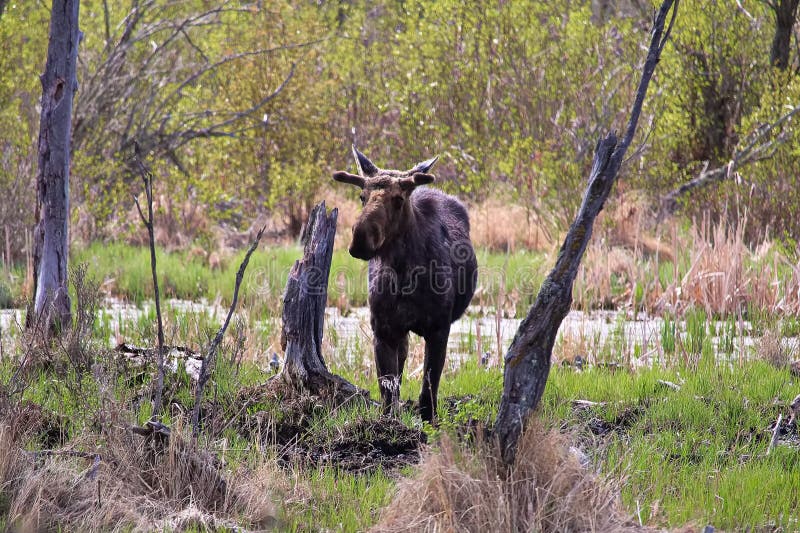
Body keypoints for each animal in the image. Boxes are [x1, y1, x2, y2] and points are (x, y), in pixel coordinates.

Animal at [333, 146, 477, 422]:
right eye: (362, 196)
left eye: (398, 199)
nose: (360, 239)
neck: (404, 274)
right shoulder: (383, 329)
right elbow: (388, 393)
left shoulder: (439, 328)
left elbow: (428, 395)